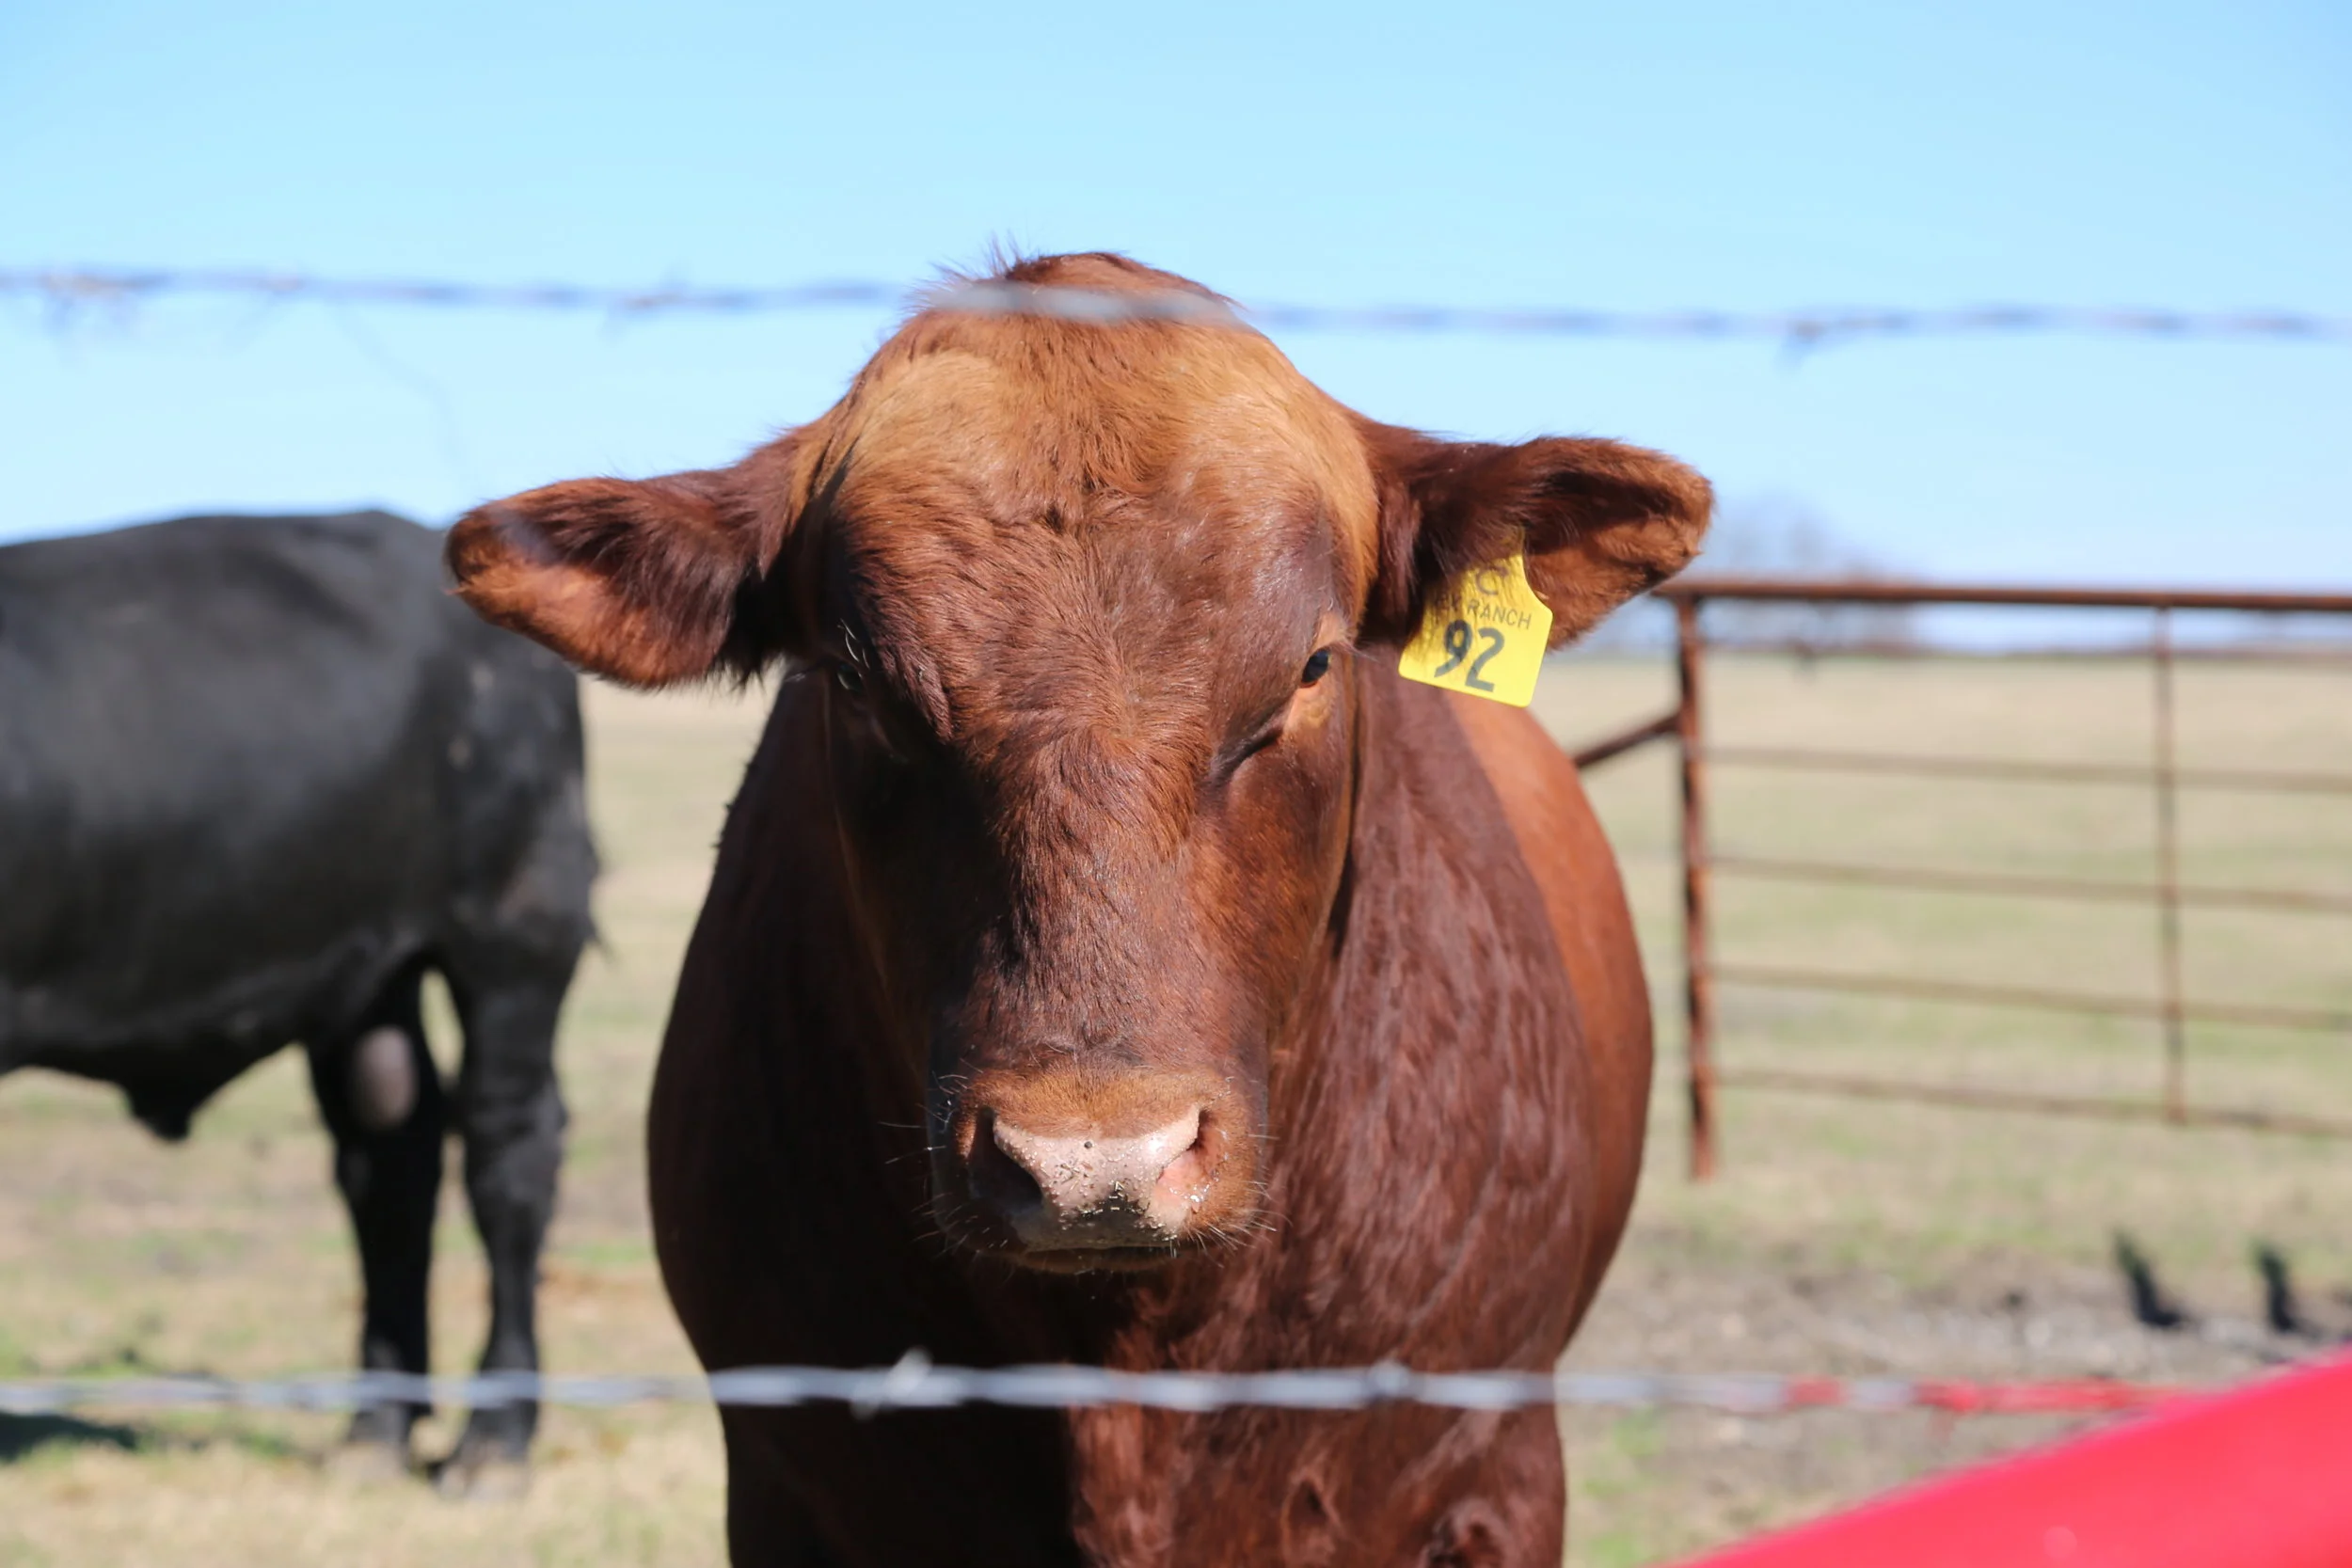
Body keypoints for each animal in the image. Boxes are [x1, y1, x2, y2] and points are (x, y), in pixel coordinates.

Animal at [0, 510, 596, 1494]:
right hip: (364, 977)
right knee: (391, 1159)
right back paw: (377, 1427)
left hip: (514, 937)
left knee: (507, 1159)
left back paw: (494, 1438)